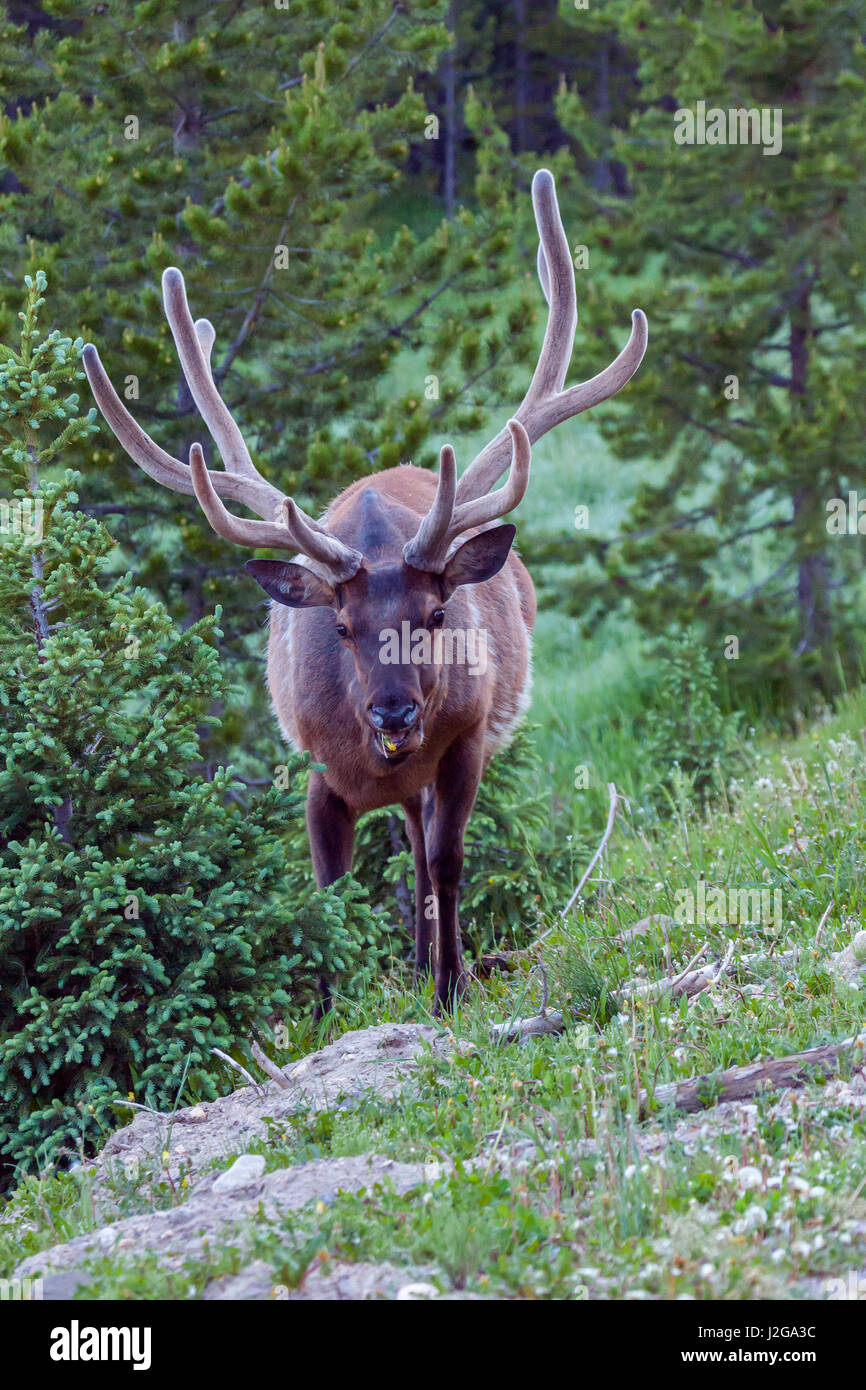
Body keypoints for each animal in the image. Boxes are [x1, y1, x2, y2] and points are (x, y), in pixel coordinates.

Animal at [82, 169, 646, 1012]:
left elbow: (447, 863)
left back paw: (430, 966)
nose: (394, 711)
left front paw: (449, 990)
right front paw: (324, 1009)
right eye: (342, 627)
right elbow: (327, 892)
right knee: (404, 840)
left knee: (421, 851)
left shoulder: (466, 742)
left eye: (437, 613)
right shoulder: (316, 772)